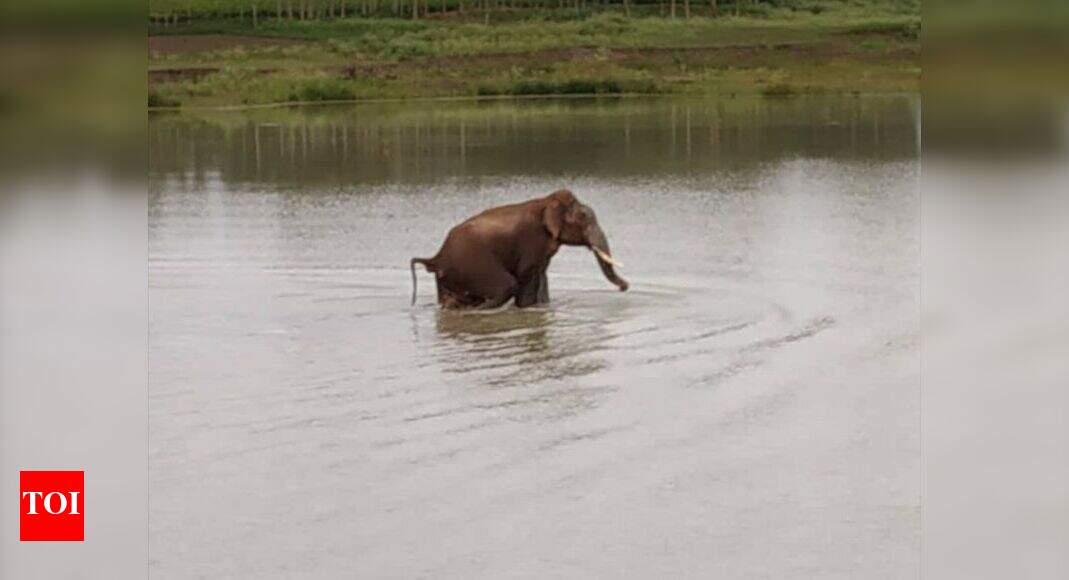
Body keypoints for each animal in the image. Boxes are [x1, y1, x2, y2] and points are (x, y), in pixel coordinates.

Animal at [410, 189, 628, 309]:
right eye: (583, 217)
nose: (624, 287)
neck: (546, 200)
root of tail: (436, 257)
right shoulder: (532, 241)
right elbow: (527, 277)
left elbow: (541, 277)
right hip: (473, 266)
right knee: (507, 286)